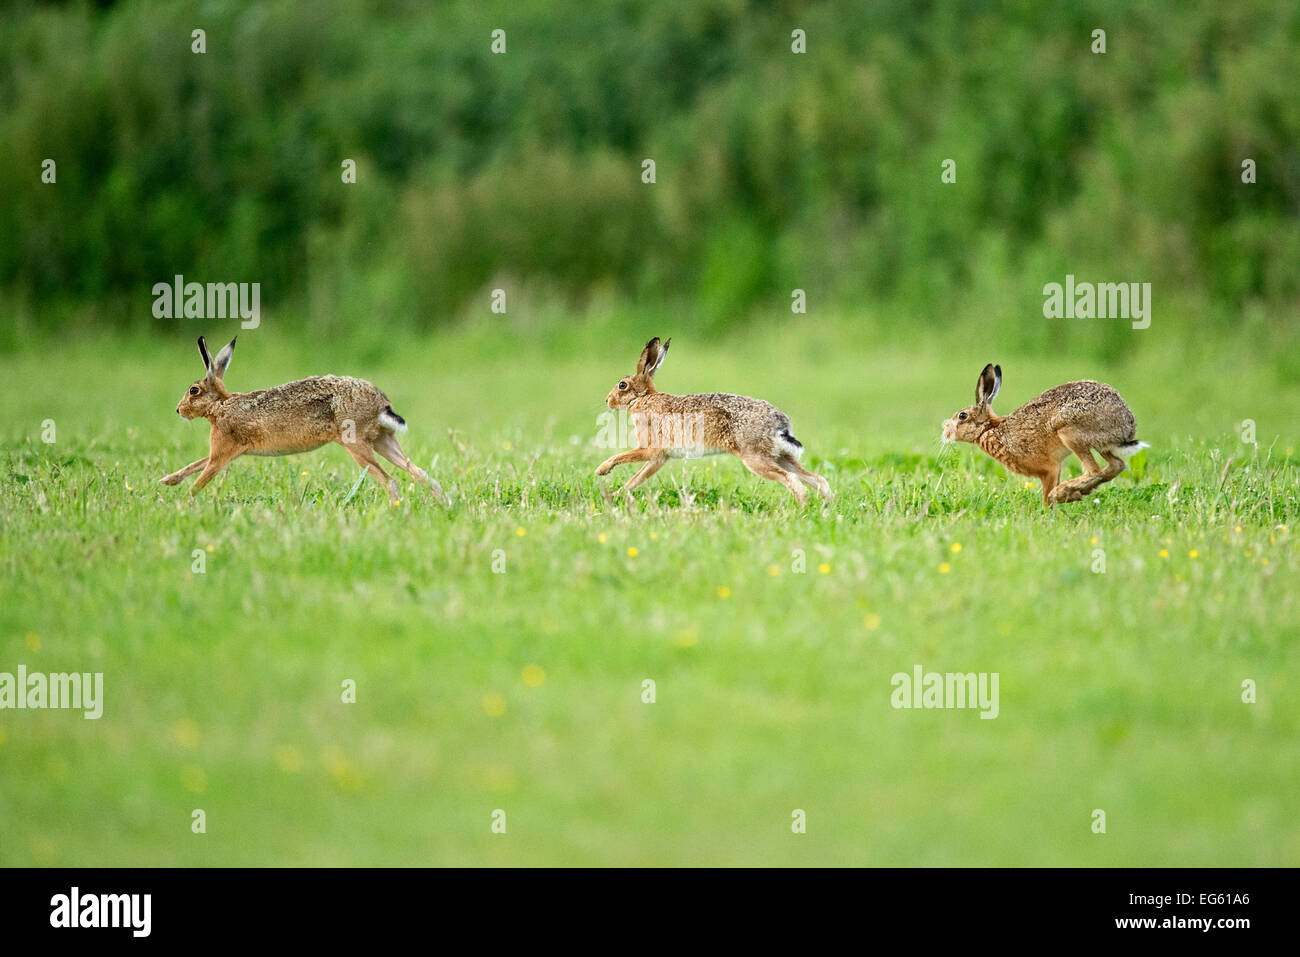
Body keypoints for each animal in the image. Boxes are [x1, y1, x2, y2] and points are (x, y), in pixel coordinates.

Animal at [160, 336, 443, 505]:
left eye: (193, 390)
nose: (178, 410)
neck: (220, 406)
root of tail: (381, 403)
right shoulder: (224, 452)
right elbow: (195, 464)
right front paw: (167, 482)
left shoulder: (222, 453)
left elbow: (201, 478)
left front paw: (182, 503)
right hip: (383, 440)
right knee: (419, 473)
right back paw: (442, 504)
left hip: (356, 444)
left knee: (390, 480)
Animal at [595, 336, 832, 504]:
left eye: (622, 385)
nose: (607, 400)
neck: (643, 398)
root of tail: (780, 422)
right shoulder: (659, 458)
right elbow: (637, 478)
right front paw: (615, 495)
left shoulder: (650, 449)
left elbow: (624, 457)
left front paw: (601, 470)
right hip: (780, 455)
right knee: (817, 480)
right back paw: (825, 508)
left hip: (754, 457)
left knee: (793, 481)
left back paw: (802, 508)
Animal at [941, 363, 1148, 505]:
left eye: (962, 416)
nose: (945, 431)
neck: (990, 429)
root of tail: (1127, 424)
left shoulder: (1049, 468)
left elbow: (1046, 498)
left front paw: (1046, 513)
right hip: (1100, 444)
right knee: (1116, 465)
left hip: (1069, 431)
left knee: (1094, 470)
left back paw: (1062, 493)